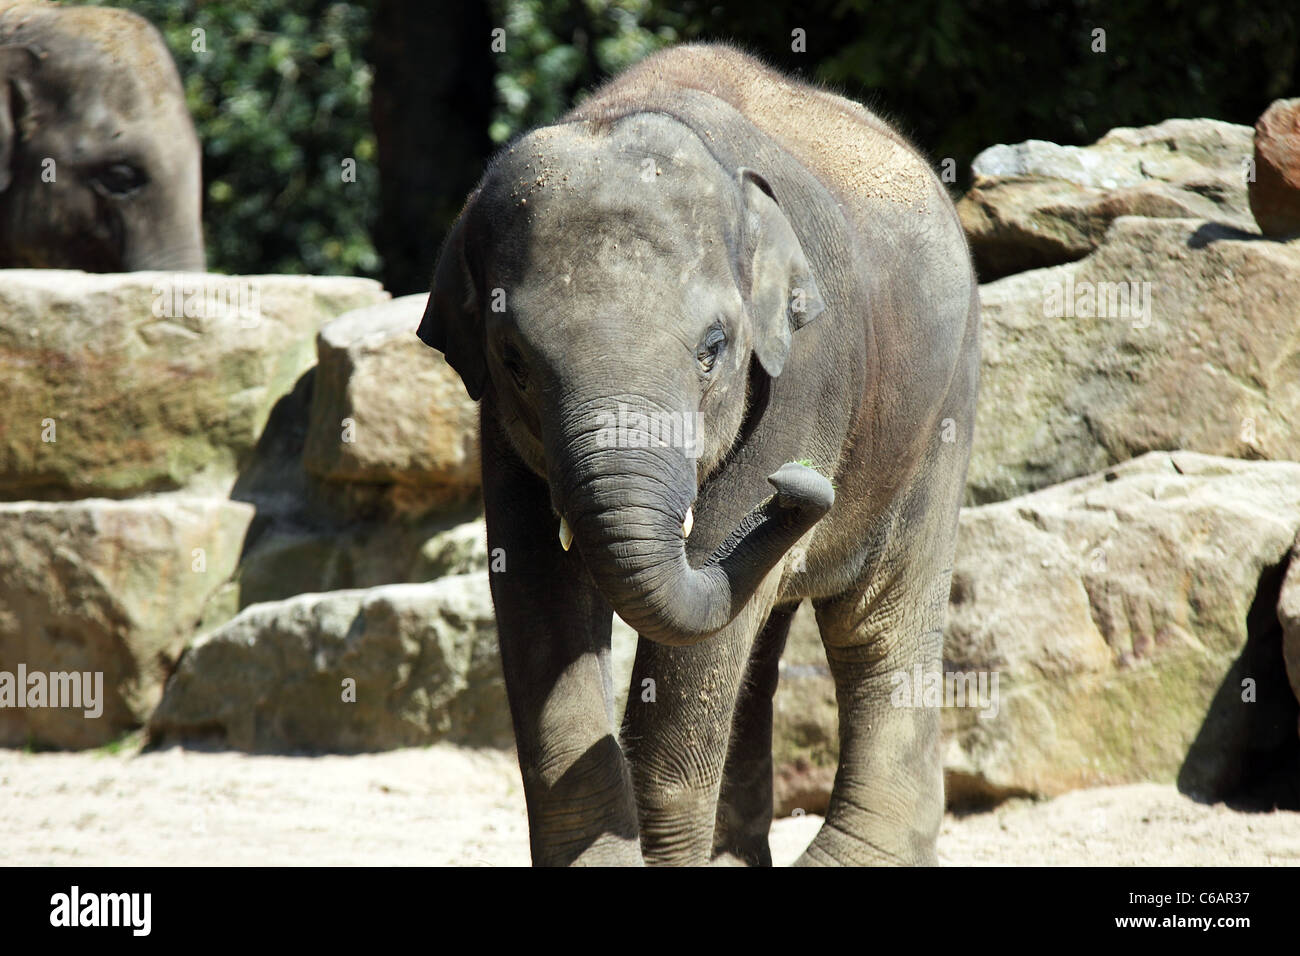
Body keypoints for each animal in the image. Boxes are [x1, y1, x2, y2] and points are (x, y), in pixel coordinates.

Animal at [419, 43, 979, 866]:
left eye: (714, 348)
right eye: (515, 361)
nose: (800, 489)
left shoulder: (801, 373)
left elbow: (704, 609)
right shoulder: (497, 423)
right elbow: (534, 584)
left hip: (940, 413)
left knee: (877, 624)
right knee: (762, 629)